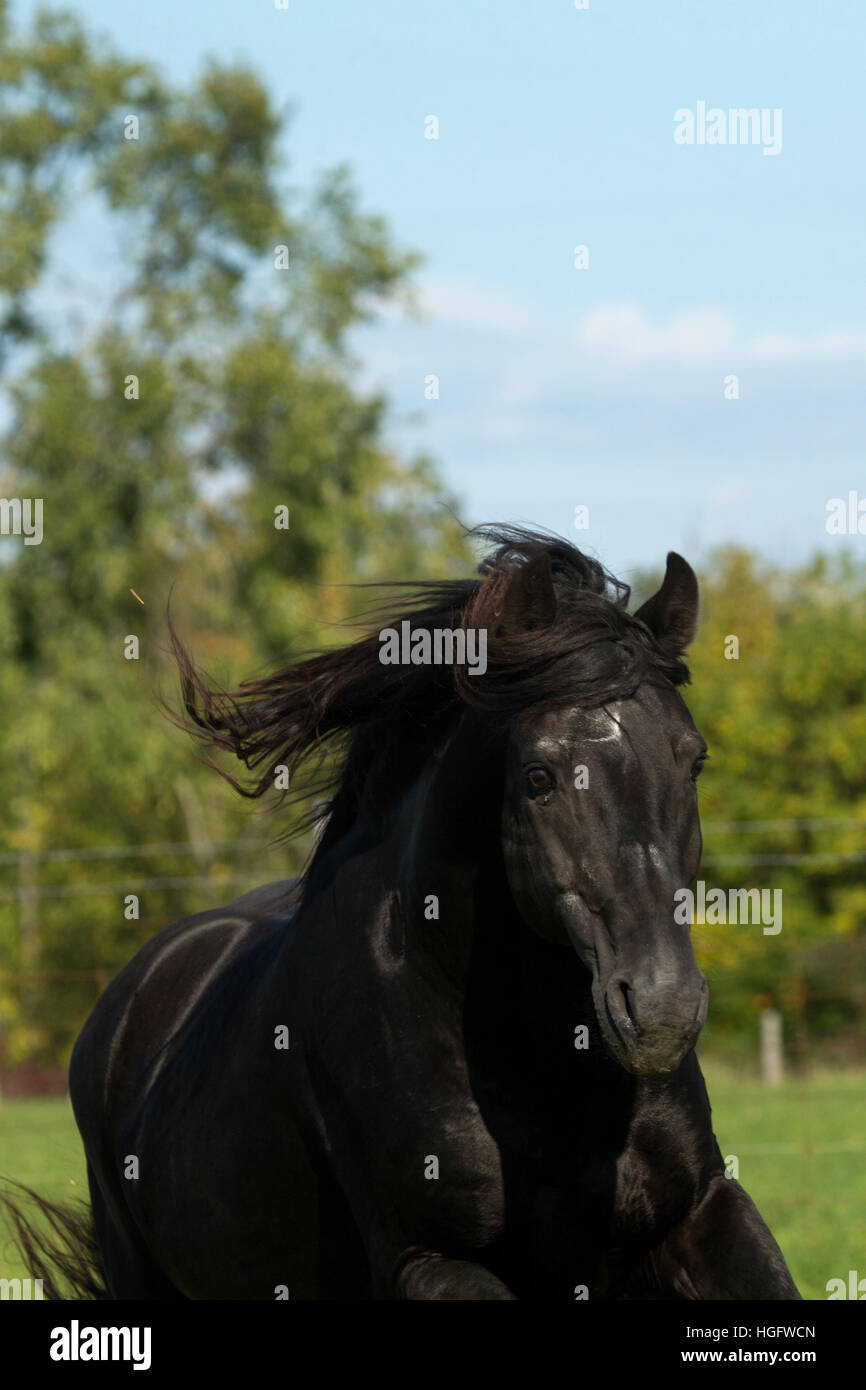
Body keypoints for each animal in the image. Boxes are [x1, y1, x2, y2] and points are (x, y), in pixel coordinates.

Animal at [4, 527, 800, 1299]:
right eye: (539, 776)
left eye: (693, 761)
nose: (662, 1010)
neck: (537, 1062)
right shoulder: (429, 1258)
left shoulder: (704, 1210)